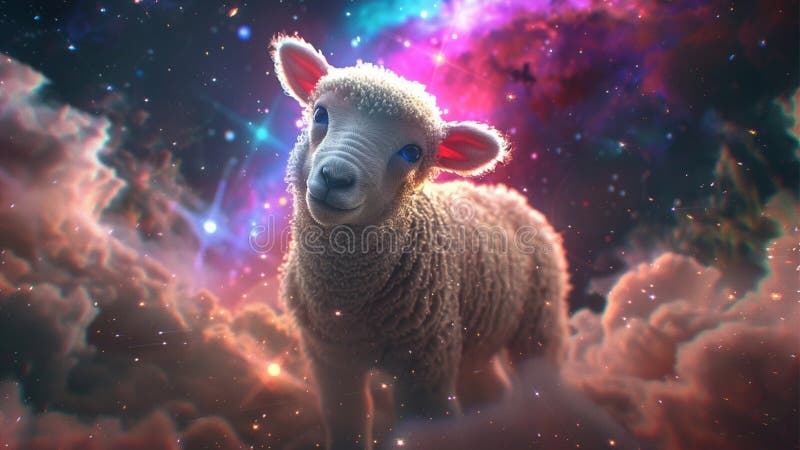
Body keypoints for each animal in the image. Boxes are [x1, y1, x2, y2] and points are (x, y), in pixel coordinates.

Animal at [272, 35, 570, 450]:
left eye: (411, 153)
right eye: (320, 115)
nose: (335, 177)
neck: (349, 305)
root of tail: (511, 197)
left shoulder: (425, 366)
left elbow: (428, 425)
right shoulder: (329, 358)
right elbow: (345, 418)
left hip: (538, 319)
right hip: (473, 339)